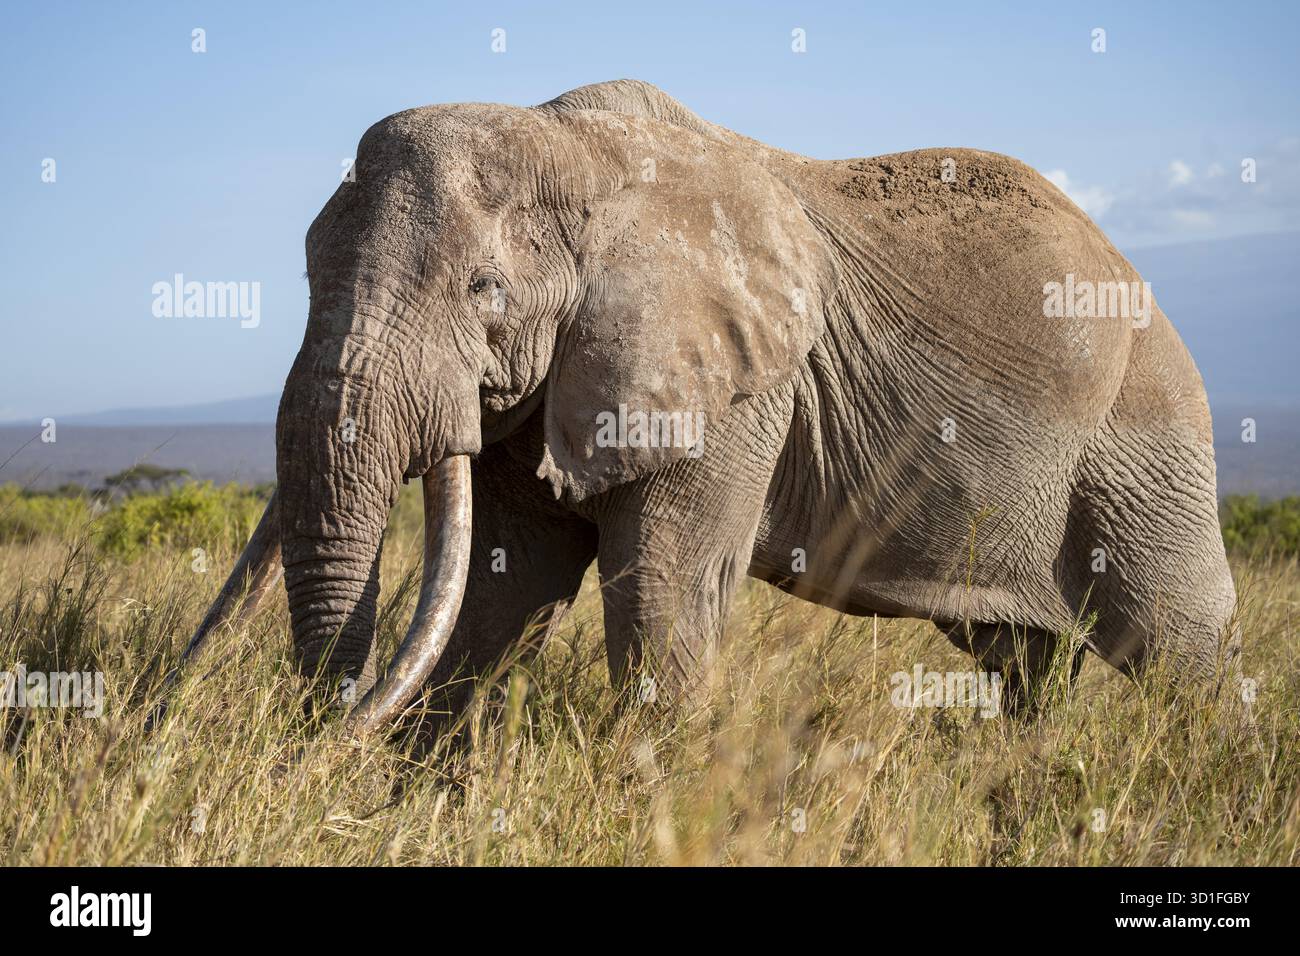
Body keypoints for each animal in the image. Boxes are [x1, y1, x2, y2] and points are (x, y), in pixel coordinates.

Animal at [173, 79, 1239, 734]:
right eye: (306, 275)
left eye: (485, 291)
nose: (319, 732)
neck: (574, 148)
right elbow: (505, 587)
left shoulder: (736, 386)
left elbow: (663, 586)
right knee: (1025, 664)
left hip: (1145, 441)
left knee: (1179, 645)